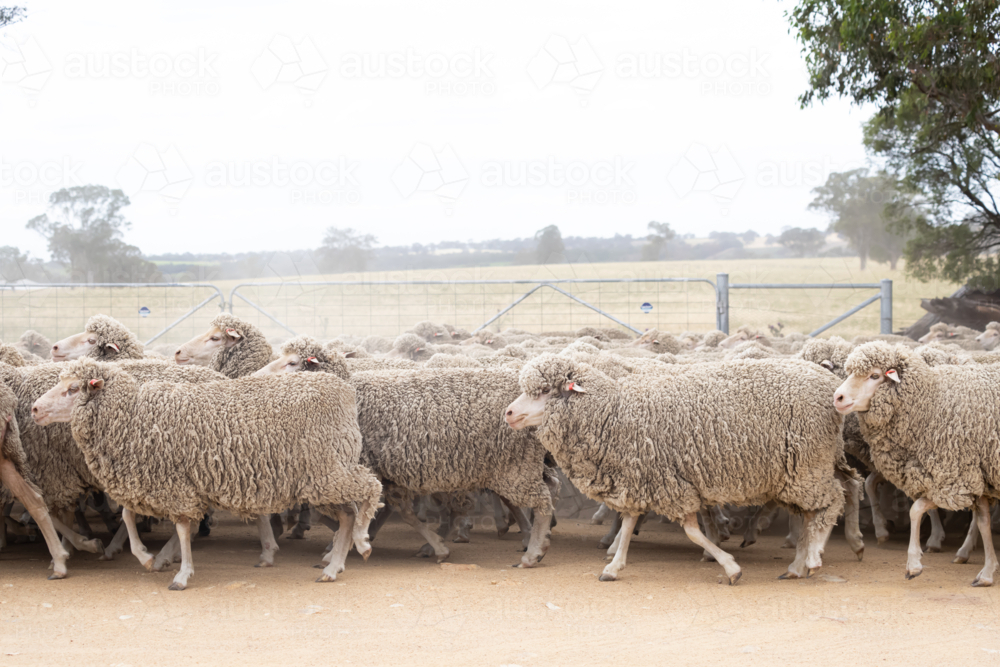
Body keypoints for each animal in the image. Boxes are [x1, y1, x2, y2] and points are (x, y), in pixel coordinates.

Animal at [32, 358, 382, 590]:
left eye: (72, 389)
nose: (34, 410)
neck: (134, 417)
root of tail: (344, 391)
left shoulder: (174, 484)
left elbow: (182, 528)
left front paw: (180, 573)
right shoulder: (151, 480)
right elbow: (130, 518)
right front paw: (146, 557)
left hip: (327, 471)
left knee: (369, 490)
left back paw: (362, 543)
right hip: (320, 478)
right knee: (348, 513)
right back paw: (334, 567)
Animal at [504, 354, 849, 583]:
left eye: (544, 391)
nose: (507, 413)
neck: (613, 411)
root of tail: (830, 385)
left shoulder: (670, 483)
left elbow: (692, 532)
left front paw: (731, 567)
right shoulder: (643, 477)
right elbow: (629, 524)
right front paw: (613, 567)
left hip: (809, 465)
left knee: (832, 502)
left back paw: (812, 559)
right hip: (797, 472)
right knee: (811, 514)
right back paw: (798, 565)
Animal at [834, 341, 1000, 586]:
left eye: (875, 375)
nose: (838, 397)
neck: (931, 403)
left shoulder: (954, 480)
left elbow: (915, 510)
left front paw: (914, 564)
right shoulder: (971, 477)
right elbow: (983, 522)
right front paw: (987, 572)